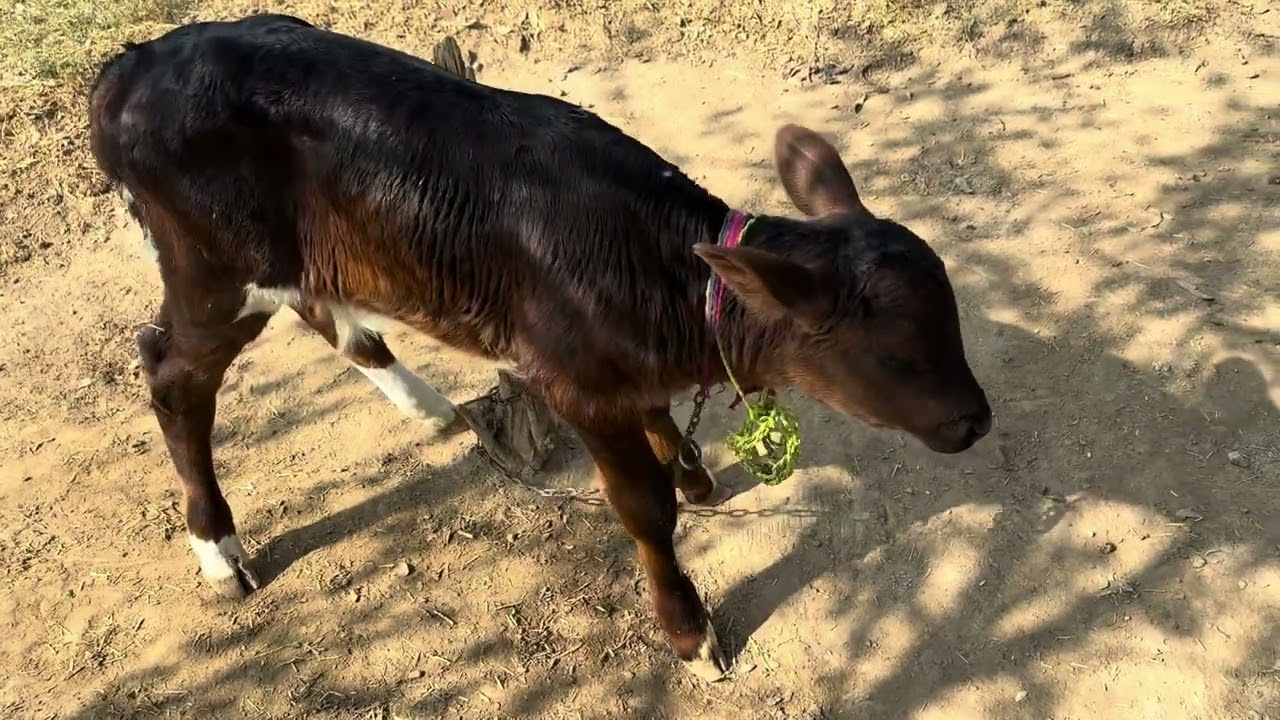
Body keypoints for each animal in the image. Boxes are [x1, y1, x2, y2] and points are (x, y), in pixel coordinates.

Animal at [88, 14, 991, 680]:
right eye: (901, 354)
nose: (978, 420)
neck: (665, 285)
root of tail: (128, 67)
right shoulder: (574, 383)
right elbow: (644, 509)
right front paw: (690, 633)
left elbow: (664, 431)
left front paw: (694, 472)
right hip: (213, 267)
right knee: (169, 373)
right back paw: (219, 550)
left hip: (301, 256)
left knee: (323, 311)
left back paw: (428, 407)